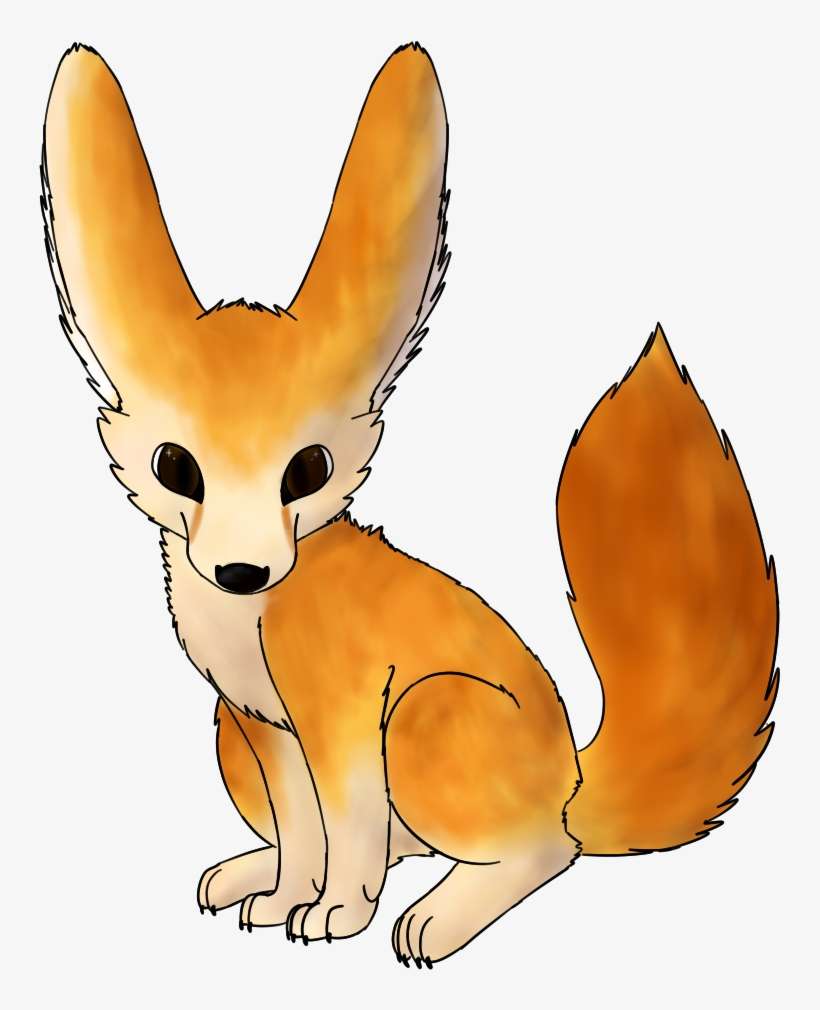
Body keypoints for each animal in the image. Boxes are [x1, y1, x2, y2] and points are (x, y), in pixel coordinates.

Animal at [41, 42, 779, 966]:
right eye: (177, 467)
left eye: (308, 469)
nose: (244, 571)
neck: (253, 623)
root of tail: (574, 782)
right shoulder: (266, 727)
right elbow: (305, 836)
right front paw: (287, 893)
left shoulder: (348, 722)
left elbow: (347, 837)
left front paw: (336, 914)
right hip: (230, 737)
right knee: (402, 845)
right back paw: (255, 874)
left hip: (428, 718)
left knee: (541, 852)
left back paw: (438, 915)